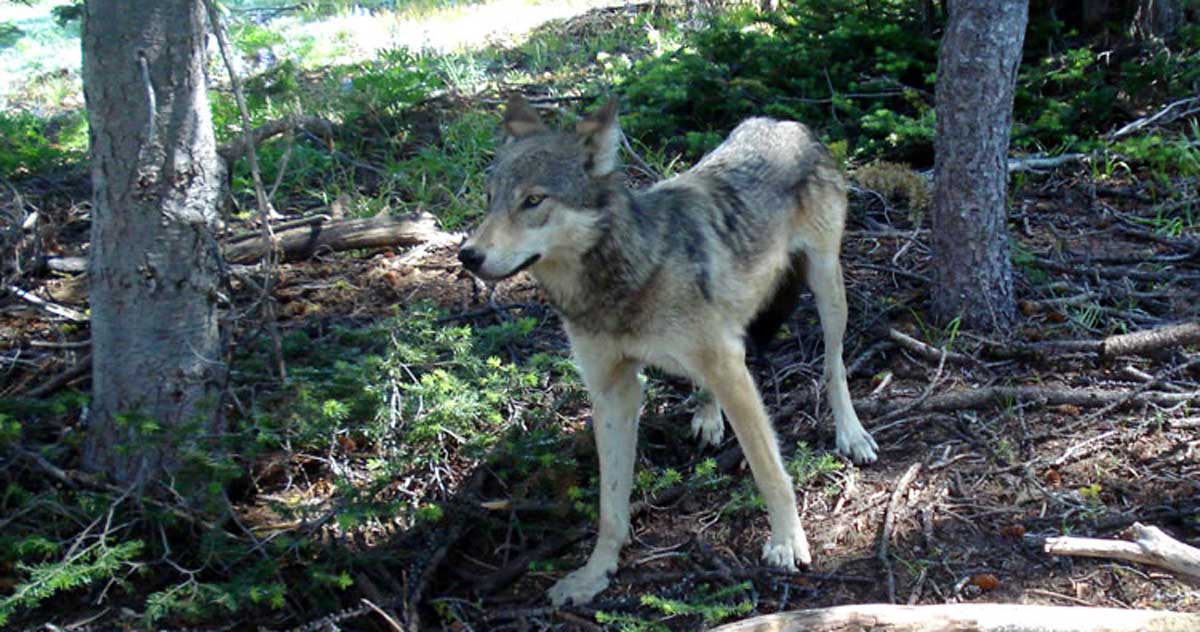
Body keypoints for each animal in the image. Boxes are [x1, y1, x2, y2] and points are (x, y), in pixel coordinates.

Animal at [458, 95, 878, 606]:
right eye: (490, 198)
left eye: (534, 201)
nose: (467, 256)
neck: (625, 279)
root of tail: (783, 122)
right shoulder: (613, 389)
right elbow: (610, 505)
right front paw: (594, 575)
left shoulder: (727, 368)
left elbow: (769, 471)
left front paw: (786, 541)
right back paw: (708, 416)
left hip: (826, 288)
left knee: (834, 367)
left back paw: (851, 434)